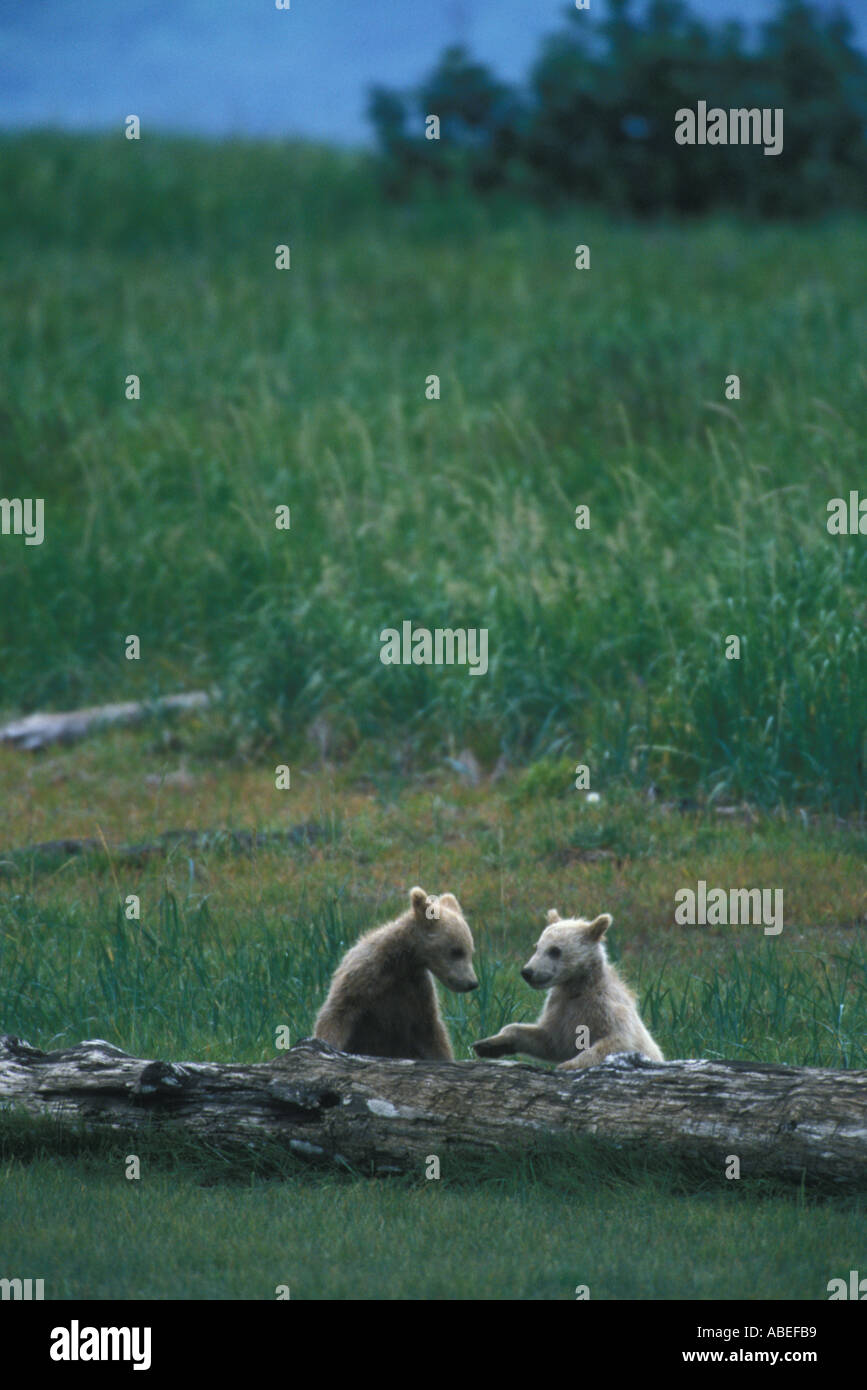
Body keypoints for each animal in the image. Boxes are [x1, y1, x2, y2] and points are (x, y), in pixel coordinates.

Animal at [313, 886, 478, 1061]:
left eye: (470, 951)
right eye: (456, 951)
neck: (400, 963)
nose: (472, 983)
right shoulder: (361, 983)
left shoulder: (416, 991)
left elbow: (431, 1033)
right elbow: (334, 1017)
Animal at [472, 909, 663, 1069]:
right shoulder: (560, 1010)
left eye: (555, 950)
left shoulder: (604, 1008)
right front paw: (487, 1044)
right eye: (537, 946)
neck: (575, 987)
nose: (527, 972)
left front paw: (569, 1065)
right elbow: (549, 1040)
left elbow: (618, 1041)